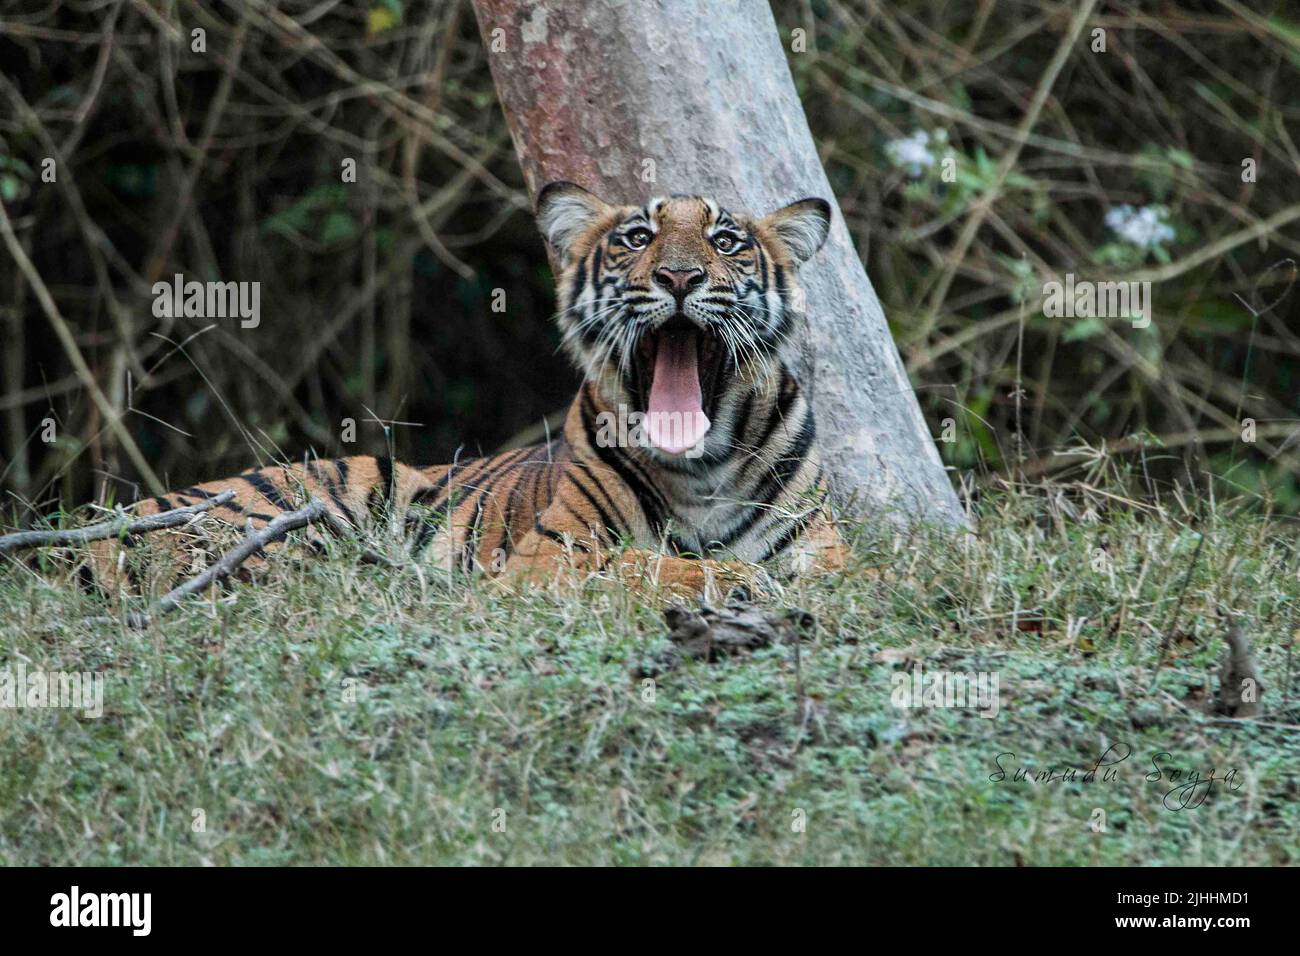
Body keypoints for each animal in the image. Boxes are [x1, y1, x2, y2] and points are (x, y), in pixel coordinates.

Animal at [87, 182, 848, 602]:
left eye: (727, 242)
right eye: (637, 237)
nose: (682, 276)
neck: (701, 469)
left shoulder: (825, 545)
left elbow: (854, 573)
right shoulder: (549, 554)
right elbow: (644, 563)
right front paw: (731, 580)